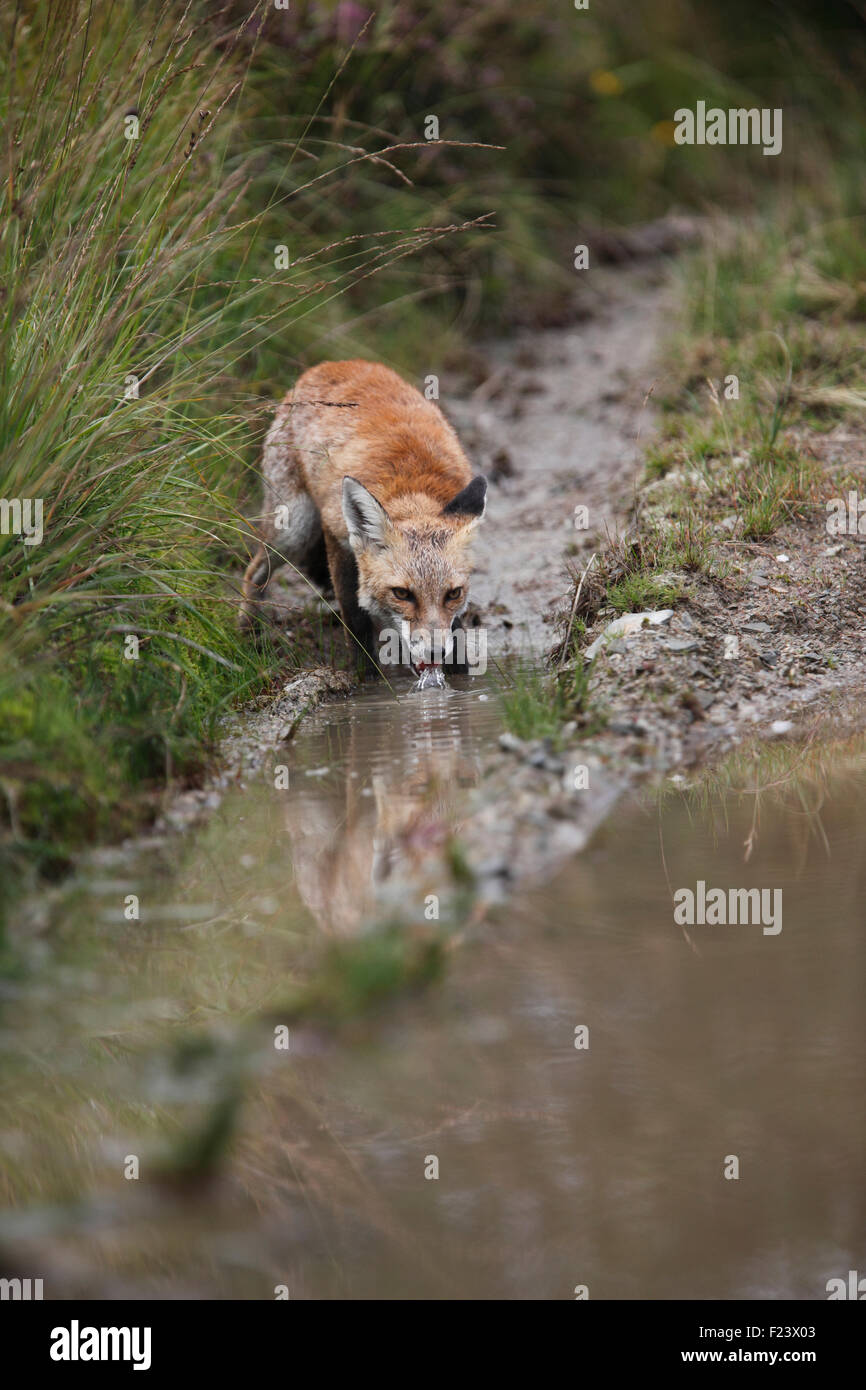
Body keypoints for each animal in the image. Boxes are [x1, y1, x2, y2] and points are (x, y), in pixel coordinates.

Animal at [240, 359, 487, 675]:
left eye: (453, 593)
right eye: (401, 593)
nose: (434, 652)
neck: (412, 493)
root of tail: (331, 365)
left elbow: (457, 636)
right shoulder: (338, 539)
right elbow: (356, 625)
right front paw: (366, 678)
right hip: (294, 530)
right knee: (254, 572)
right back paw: (247, 633)